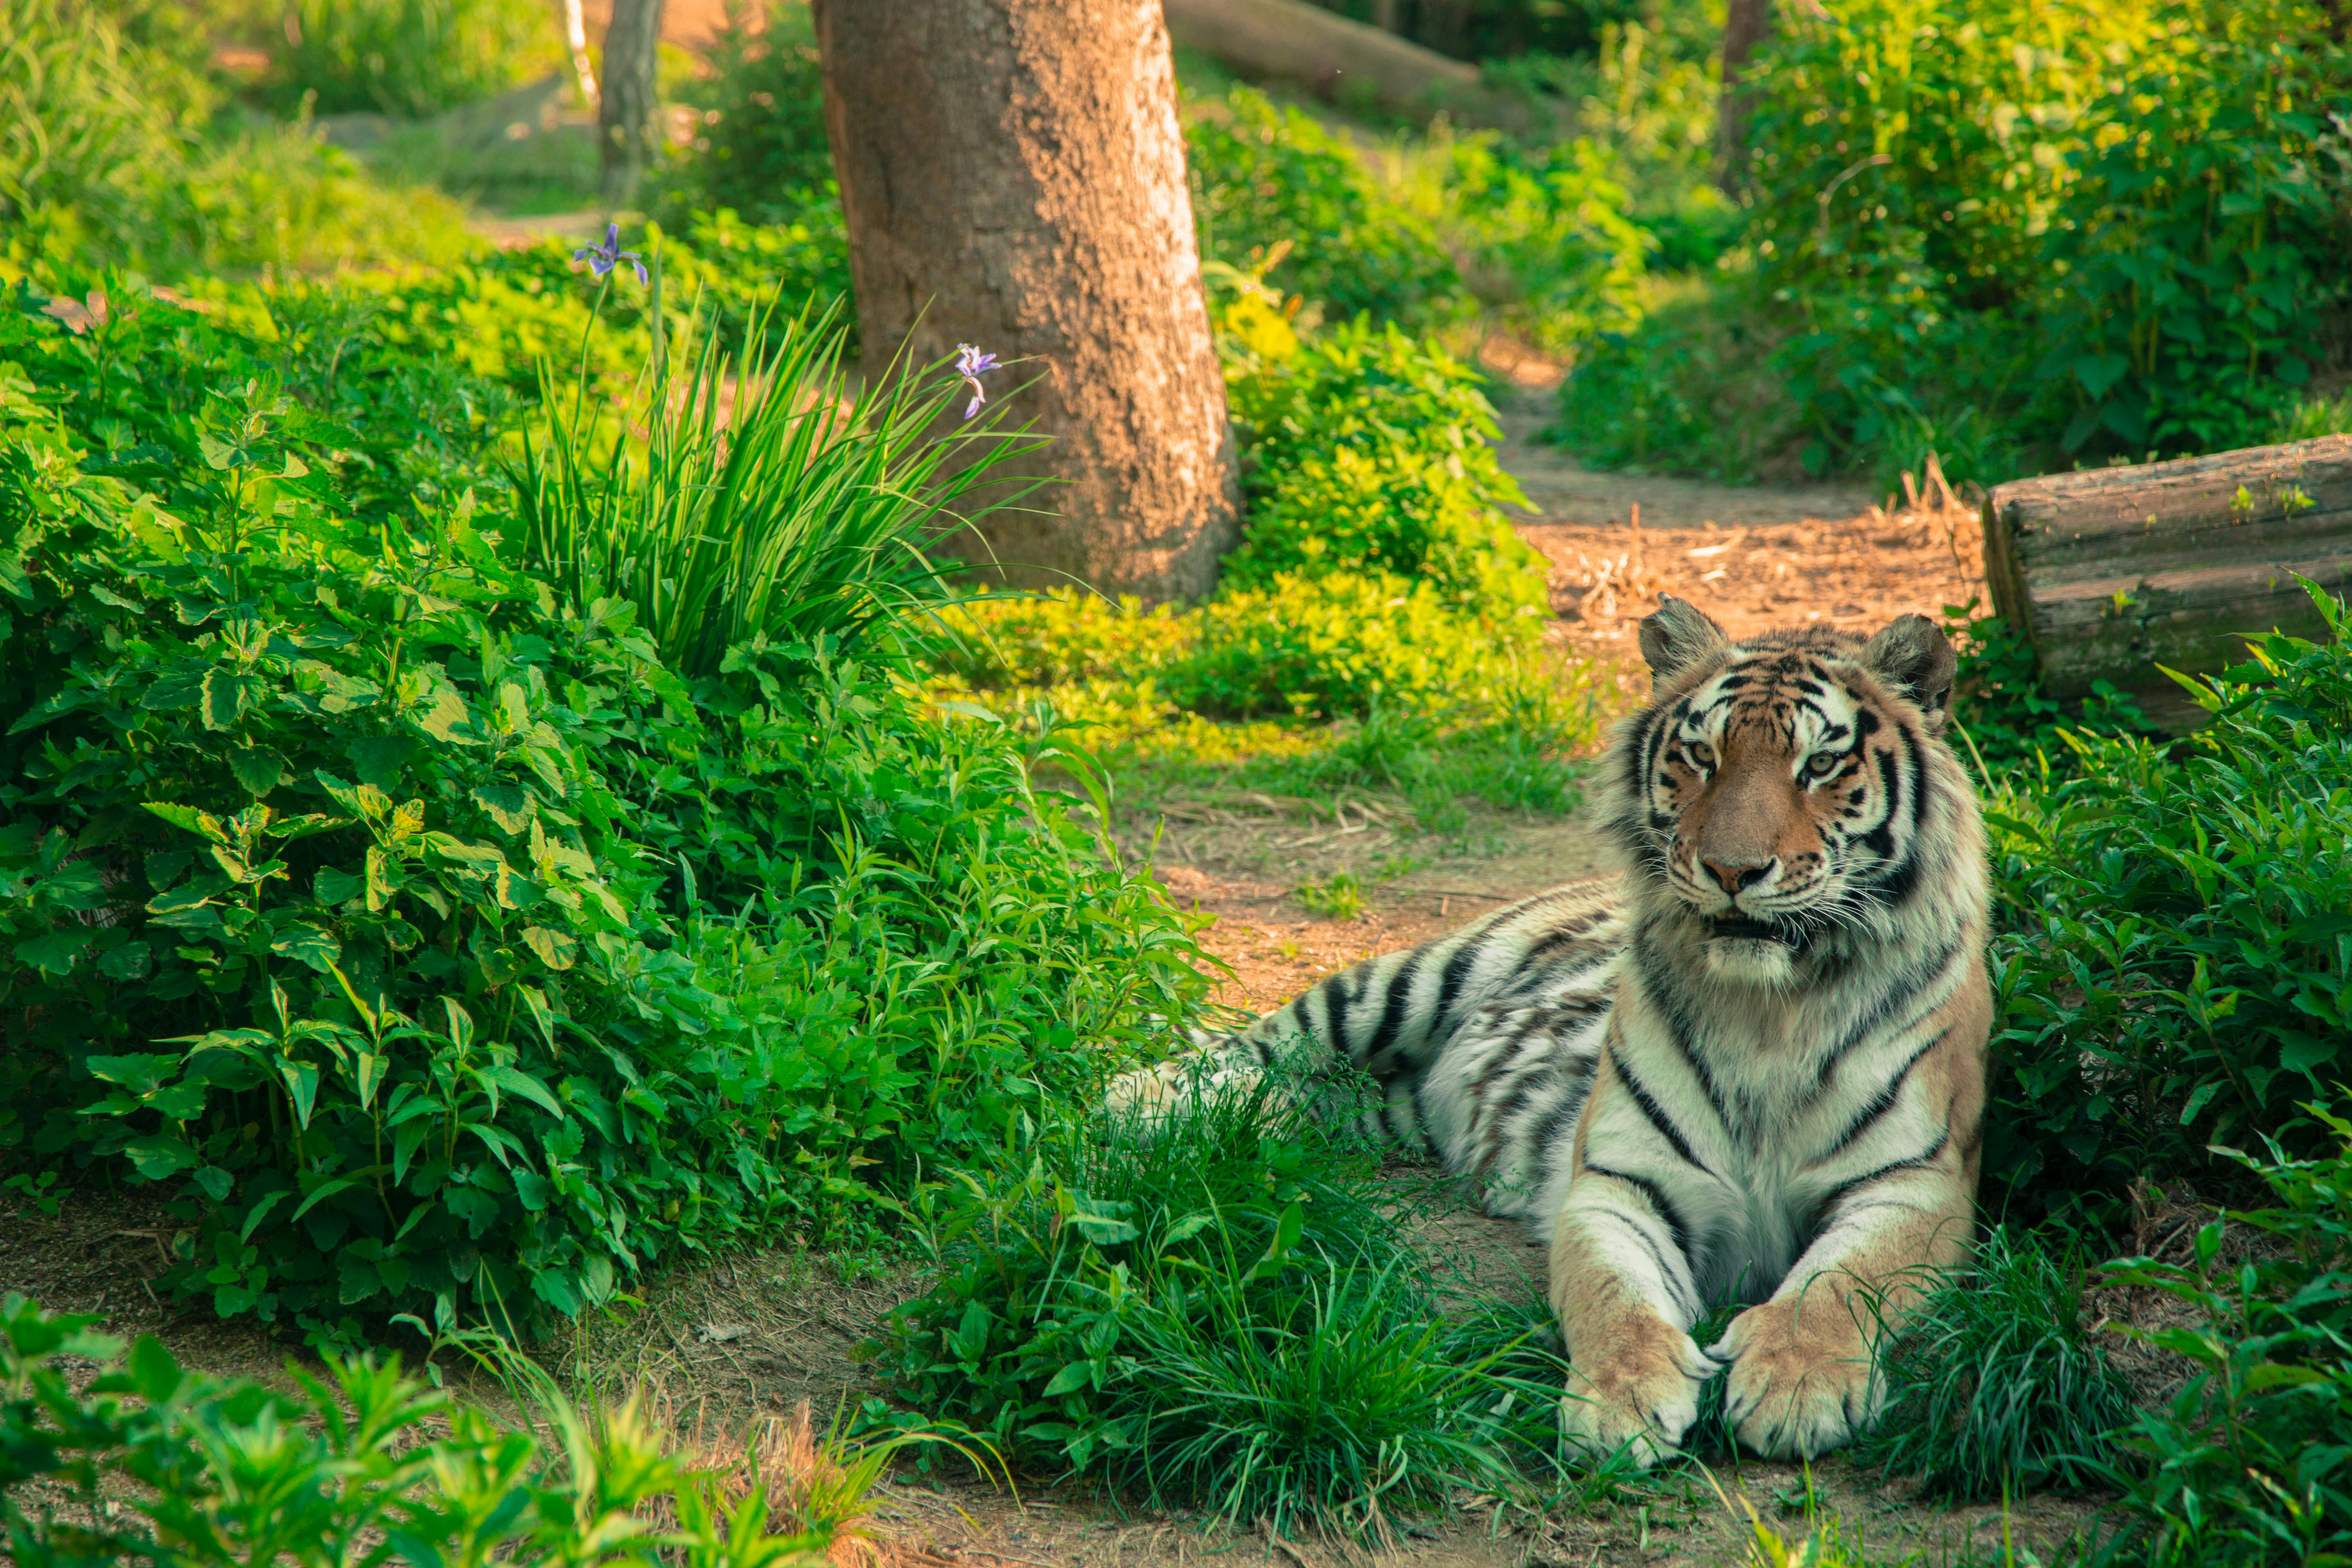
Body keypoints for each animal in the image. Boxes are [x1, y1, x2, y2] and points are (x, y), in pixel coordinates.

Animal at [1107, 597, 1990, 1466]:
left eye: (1819, 766)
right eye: (1702, 756)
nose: (1732, 871)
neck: (1769, 1010)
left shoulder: (1915, 1186)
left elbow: (1839, 1287)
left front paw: (1797, 1385)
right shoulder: (1621, 1184)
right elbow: (1613, 1299)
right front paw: (1619, 1404)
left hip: (1379, 1099)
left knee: (1294, 1093)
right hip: (1412, 979)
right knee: (1261, 1042)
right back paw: (1125, 1106)